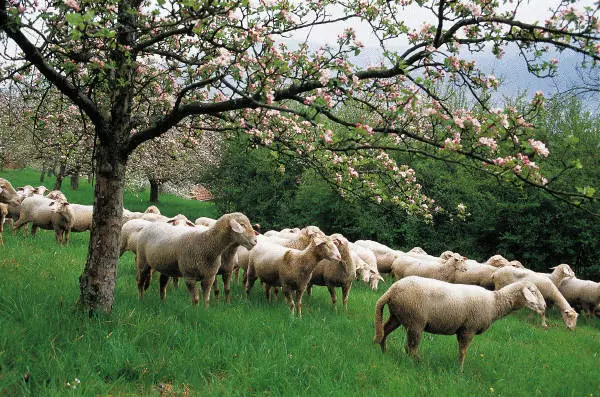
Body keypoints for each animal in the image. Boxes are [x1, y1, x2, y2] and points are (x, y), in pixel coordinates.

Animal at [372, 276, 548, 372]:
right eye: (533, 291)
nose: (545, 306)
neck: (494, 302)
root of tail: (392, 290)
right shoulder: (468, 329)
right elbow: (463, 352)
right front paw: (460, 371)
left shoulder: (464, 330)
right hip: (415, 320)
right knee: (411, 347)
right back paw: (419, 364)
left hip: (398, 316)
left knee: (384, 332)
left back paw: (384, 352)